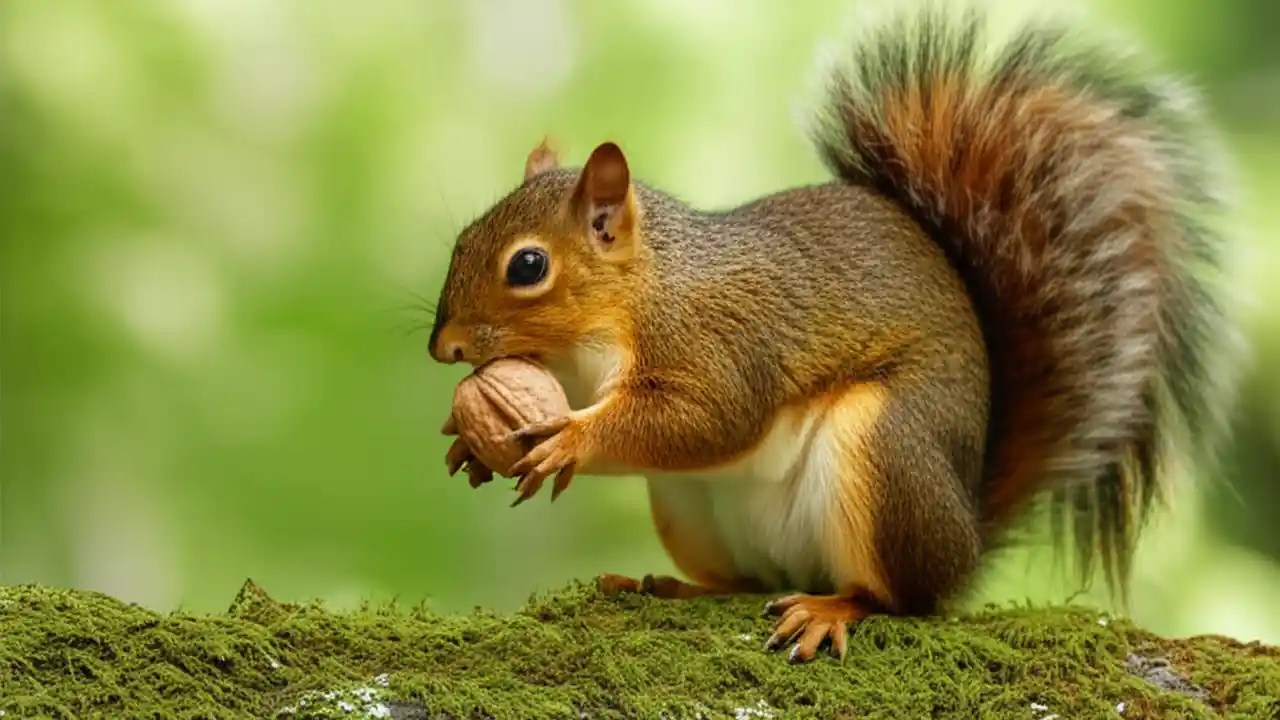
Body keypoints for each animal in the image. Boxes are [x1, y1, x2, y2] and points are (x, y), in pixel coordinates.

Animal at [429, 4, 1236, 663]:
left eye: (528, 265)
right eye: (461, 239)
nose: (444, 349)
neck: (624, 310)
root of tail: (967, 536)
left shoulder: (722, 341)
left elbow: (708, 419)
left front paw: (572, 438)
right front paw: (468, 439)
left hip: (882, 451)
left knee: (902, 599)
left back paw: (833, 608)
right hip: (689, 510)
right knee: (747, 579)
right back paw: (677, 589)